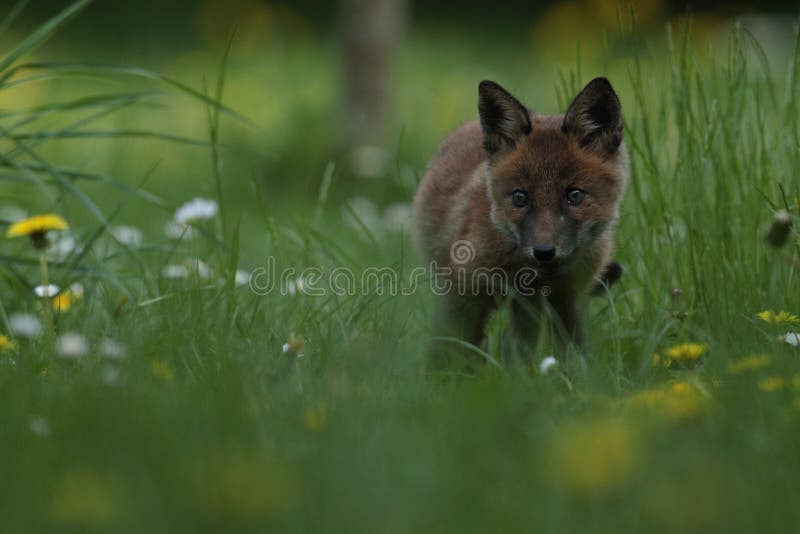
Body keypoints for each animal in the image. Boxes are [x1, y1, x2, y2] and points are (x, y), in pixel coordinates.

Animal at [412, 77, 628, 368]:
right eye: (520, 197)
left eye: (574, 195)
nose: (544, 251)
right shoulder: (461, 291)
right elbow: (448, 348)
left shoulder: (568, 300)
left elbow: (574, 352)